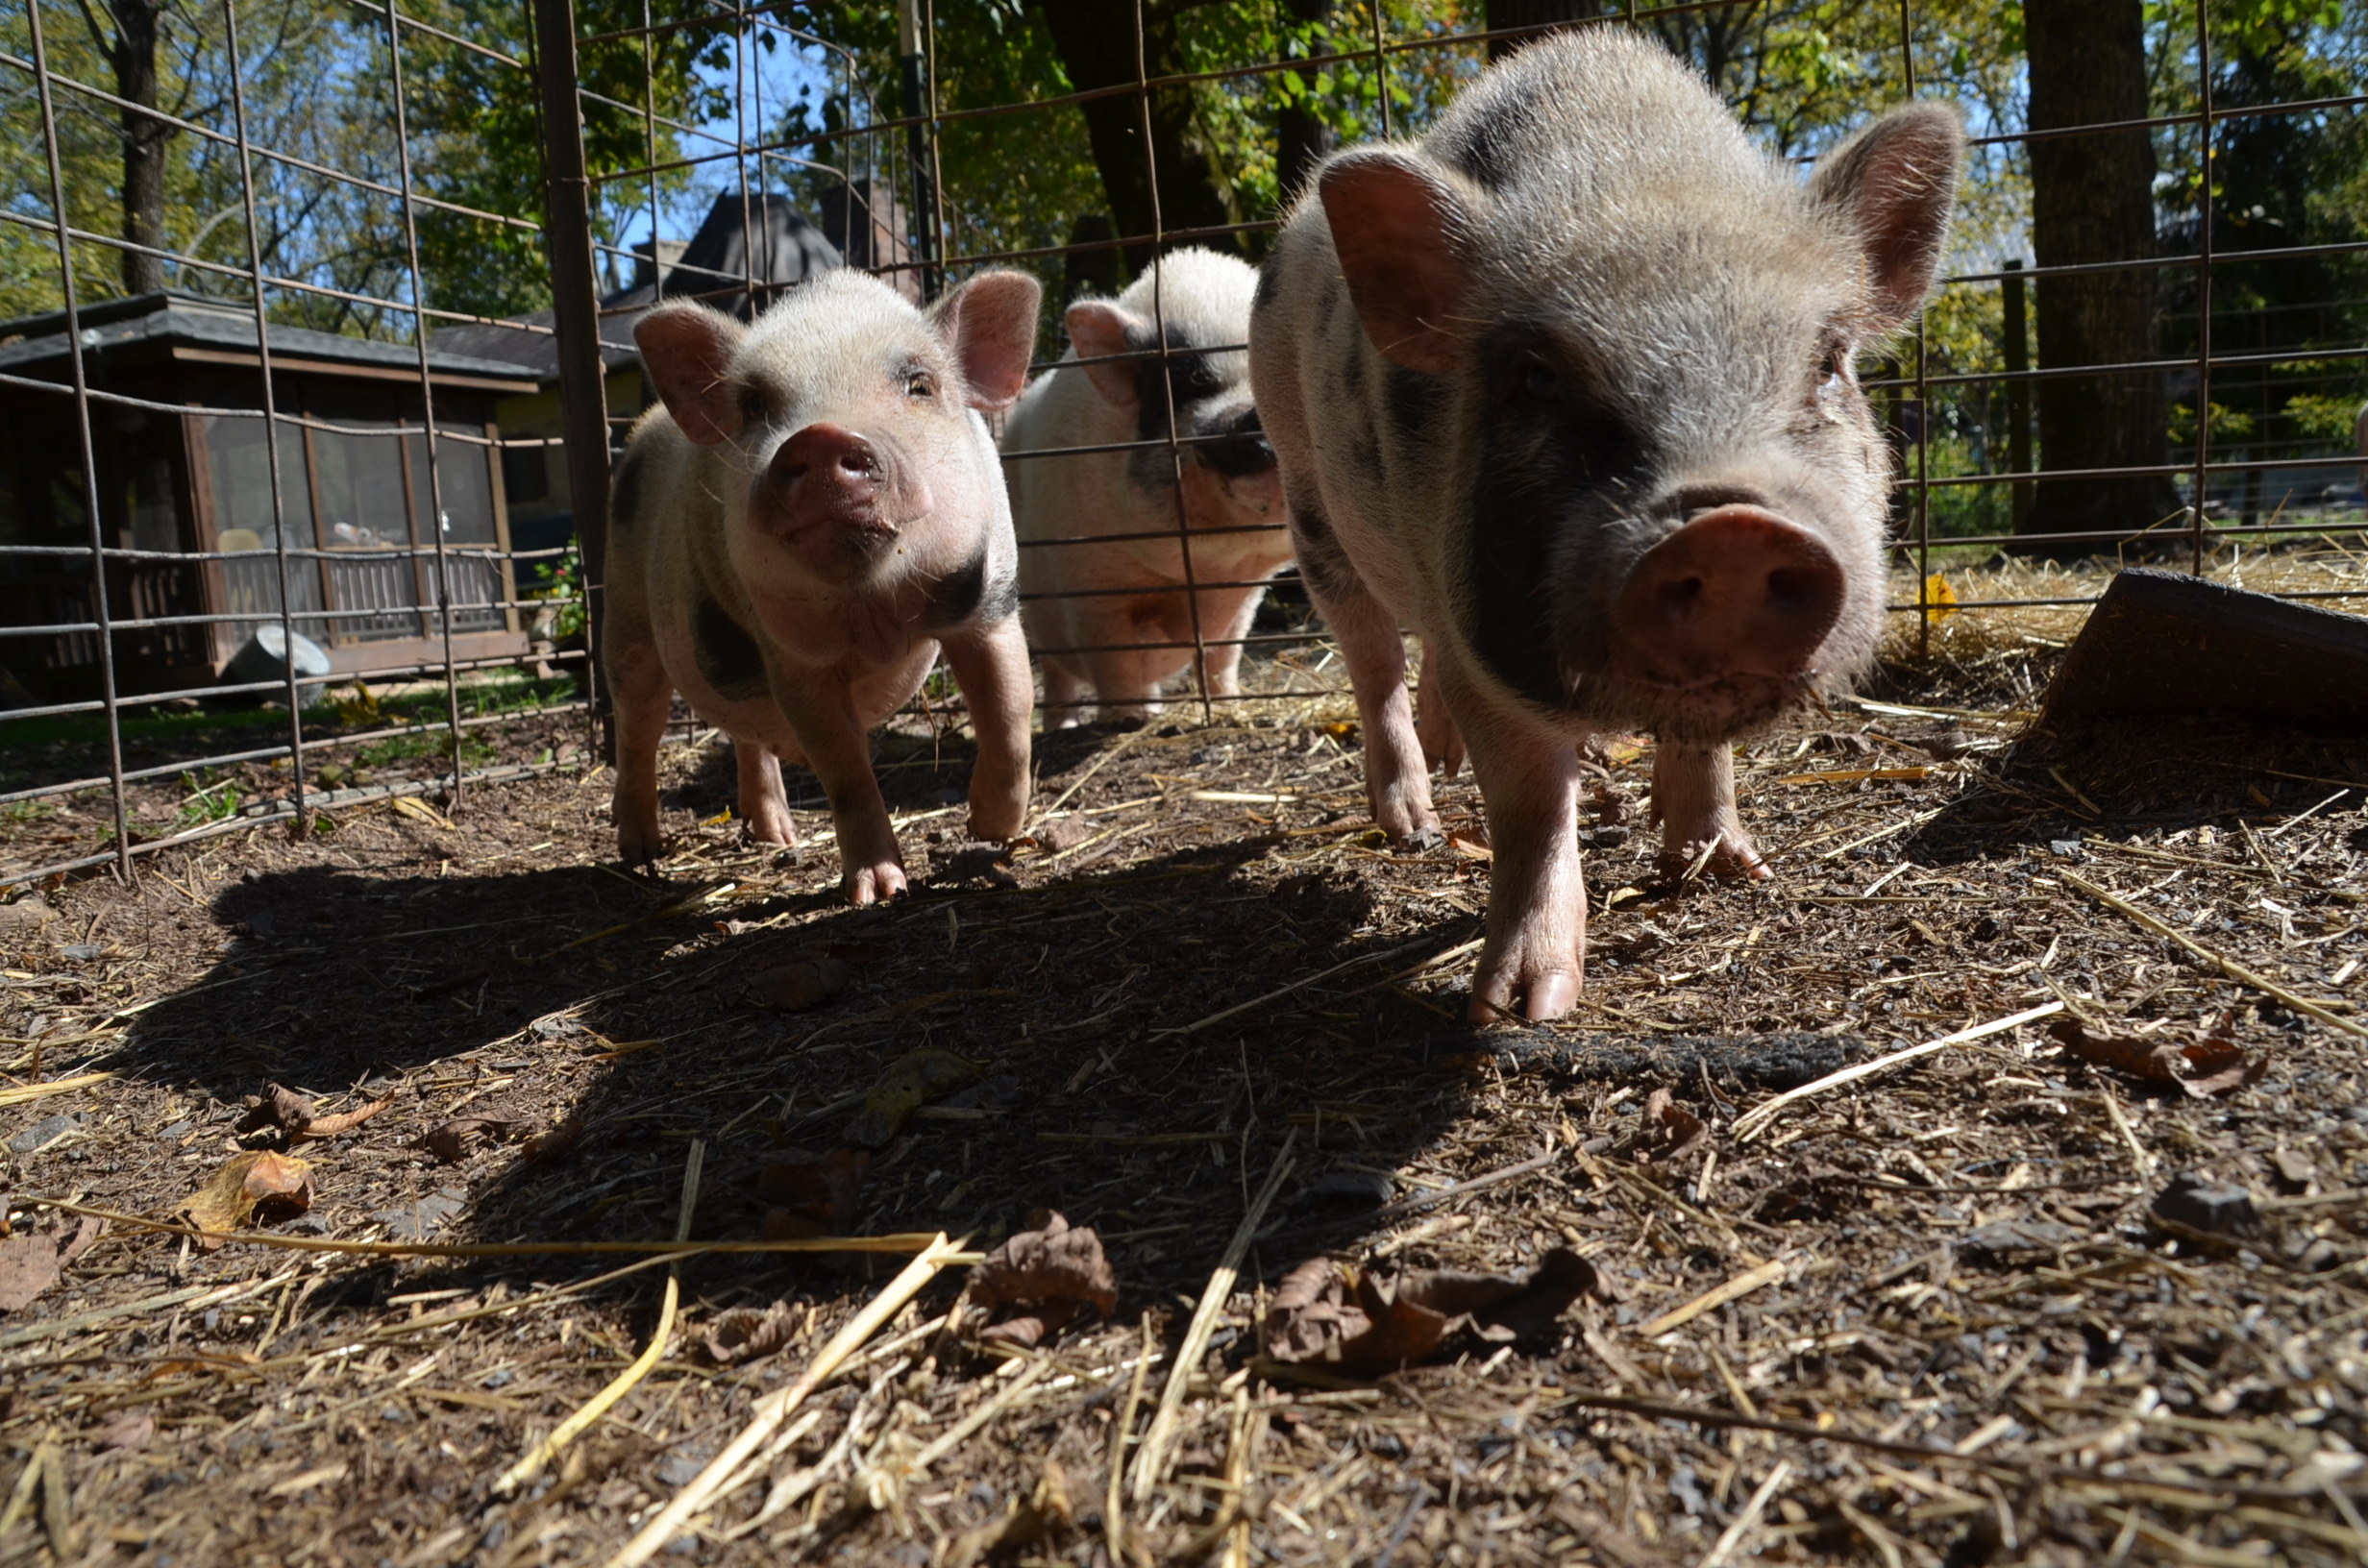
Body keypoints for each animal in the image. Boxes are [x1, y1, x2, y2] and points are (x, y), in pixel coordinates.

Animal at [605, 266, 1043, 901]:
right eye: (754, 404)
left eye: (919, 384)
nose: (819, 437)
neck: (874, 612)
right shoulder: (792, 657)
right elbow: (846, 772)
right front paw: (881, 893)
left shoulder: (990, 603)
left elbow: (1011, 716)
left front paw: (988, 832)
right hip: (625, 615)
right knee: (636, 727)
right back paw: (641, 855)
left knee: (744, 738)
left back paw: (777, 838)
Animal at [1002, 248, 1290, 724]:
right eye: (1188, 381)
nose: (1254, 419)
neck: (1210, 570)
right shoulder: (1088, 583)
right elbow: (1114, 657)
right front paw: (1125, 721)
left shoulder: (1248, 596)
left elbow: (1223, 656)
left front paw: (1230, 707)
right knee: (1057, 676)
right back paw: (1070, 723)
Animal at [1249, 29, 1962, 1020]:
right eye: (1537, 375)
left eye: (1828, 362)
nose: (1731, 529)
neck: (1631, 165)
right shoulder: (1478, 625)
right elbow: (1530, 806)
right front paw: (1521, 1007)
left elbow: (1702, 750)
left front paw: (1727, 870)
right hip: (1305, 496)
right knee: (1372, 657)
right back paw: (1414, 829)